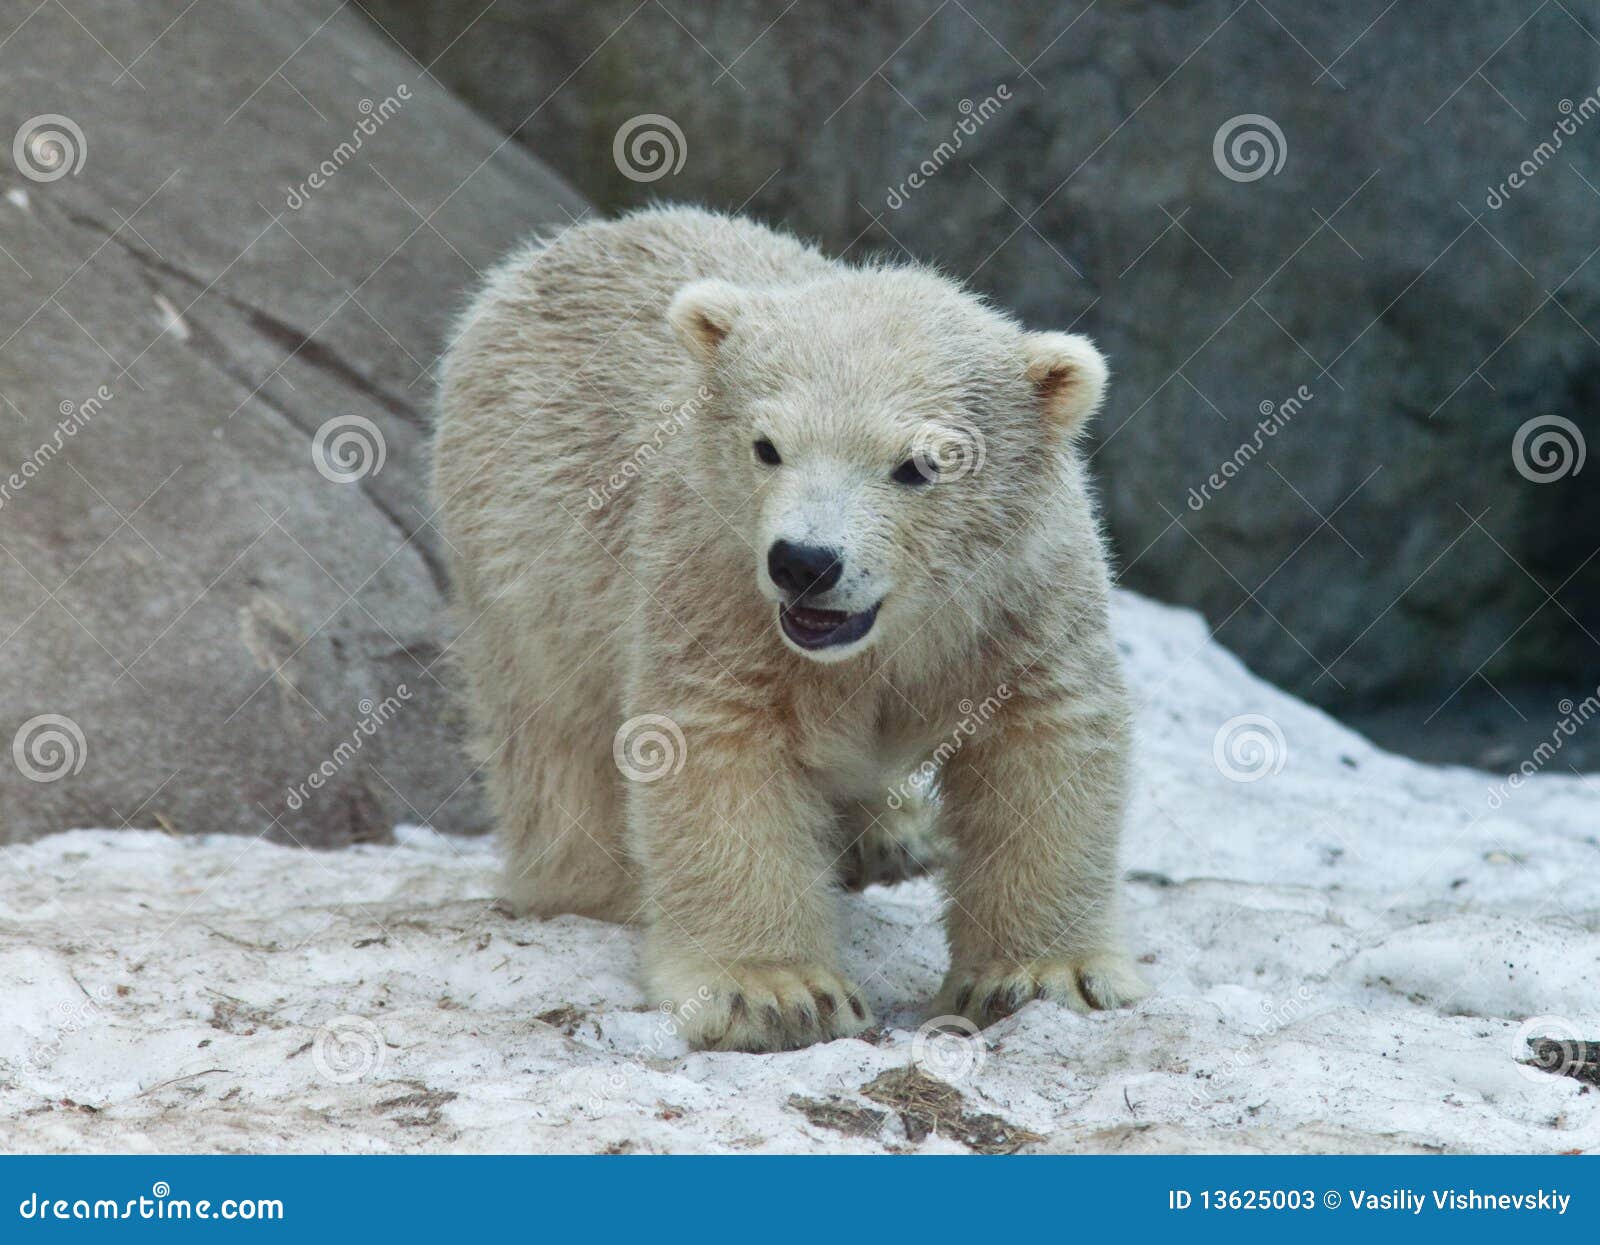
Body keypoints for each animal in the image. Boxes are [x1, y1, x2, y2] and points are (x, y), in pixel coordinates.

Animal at [433, 206, 1146, 1052]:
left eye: (919, 465)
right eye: (767, 446)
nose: (805, 562)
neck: (885, 634)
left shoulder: (1020, 597)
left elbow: (1040, 743)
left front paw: (1039, 975)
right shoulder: (713, 580)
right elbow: (717, 746)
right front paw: (777, 994)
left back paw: (890, 833)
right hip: (524, 542)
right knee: (554, 734)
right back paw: (604, 879)